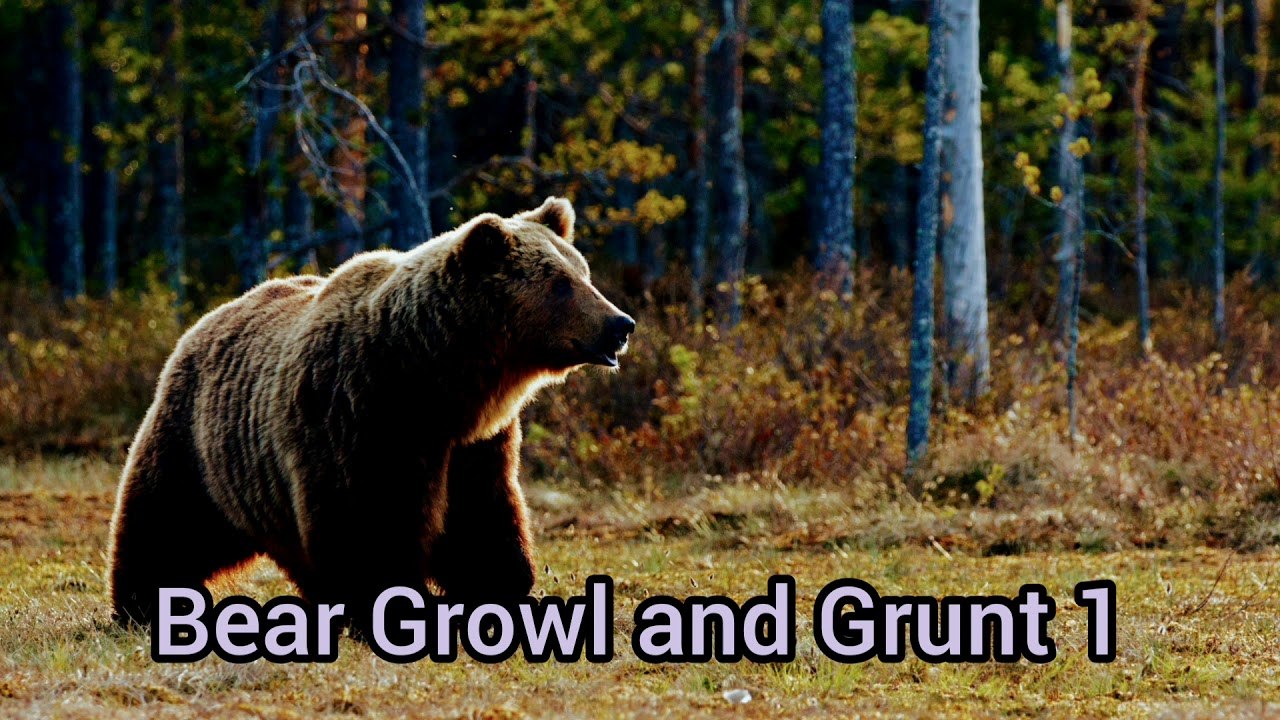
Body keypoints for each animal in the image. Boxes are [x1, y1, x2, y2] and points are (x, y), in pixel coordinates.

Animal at [107, 197, 635, 630]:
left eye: (583, 273)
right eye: (561, 284)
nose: (621, 324)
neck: (437, 376)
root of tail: (207, 319)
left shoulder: (475, 443)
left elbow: (482, 516)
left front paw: (499, 588)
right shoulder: (360, 414)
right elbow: (370, 525)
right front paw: (398, 609)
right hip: (199, 444)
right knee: (165, 522)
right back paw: (142, 604)